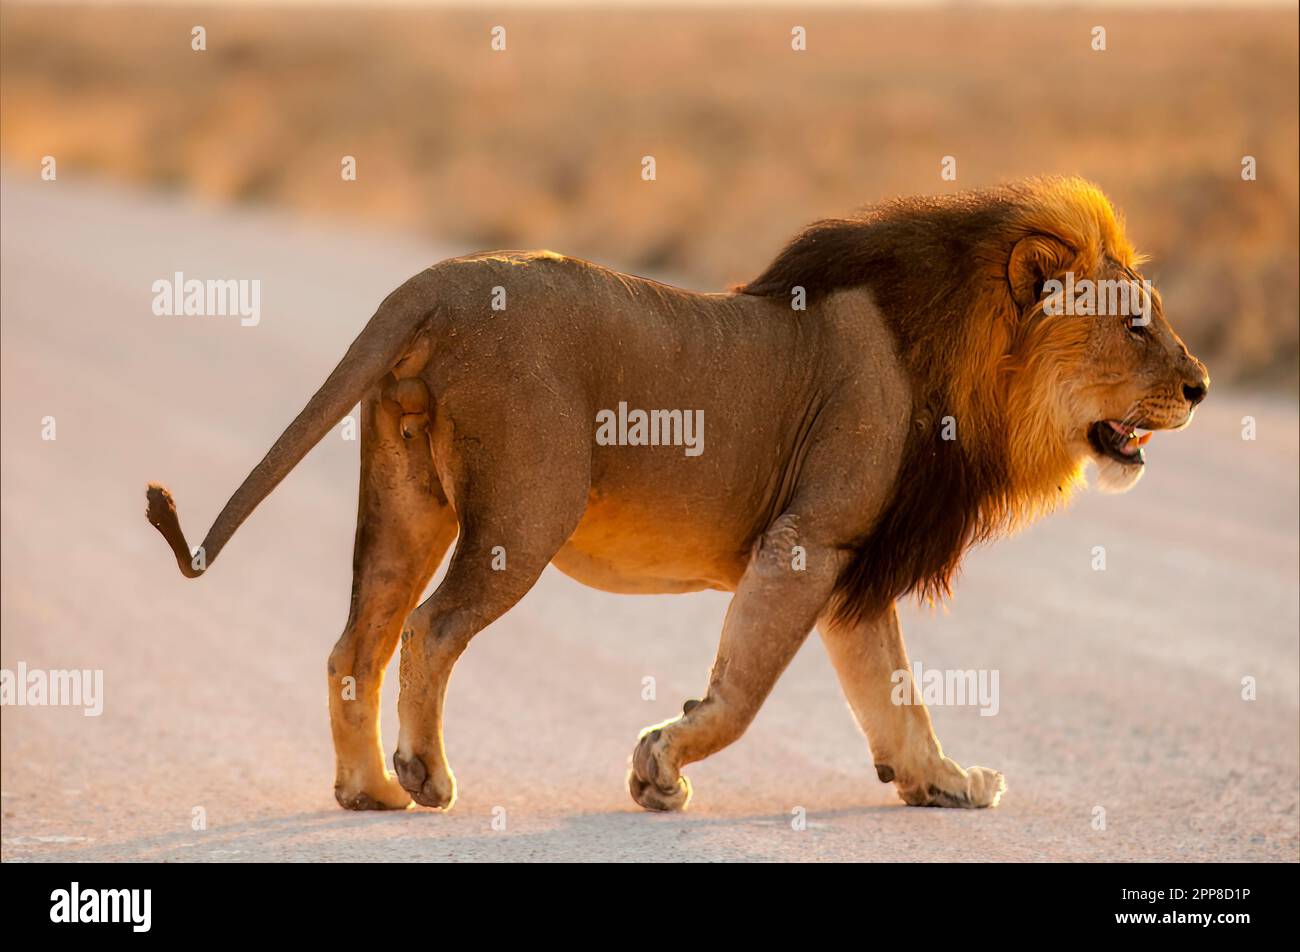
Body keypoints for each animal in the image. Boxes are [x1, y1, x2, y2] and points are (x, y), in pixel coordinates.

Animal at [146, 176, 1209, 813]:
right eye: (1136, 328)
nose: (1202, 386)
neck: (966, 364)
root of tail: (438, 280)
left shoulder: (850, 565)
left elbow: (894, 693)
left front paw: (941, 781)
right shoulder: (808, 540)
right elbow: (744, 691)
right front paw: (659, 767)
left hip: (407, 499)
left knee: (356, 641)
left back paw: (369, 790)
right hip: (524, 515)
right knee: (431, 628)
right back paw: (427, 774)